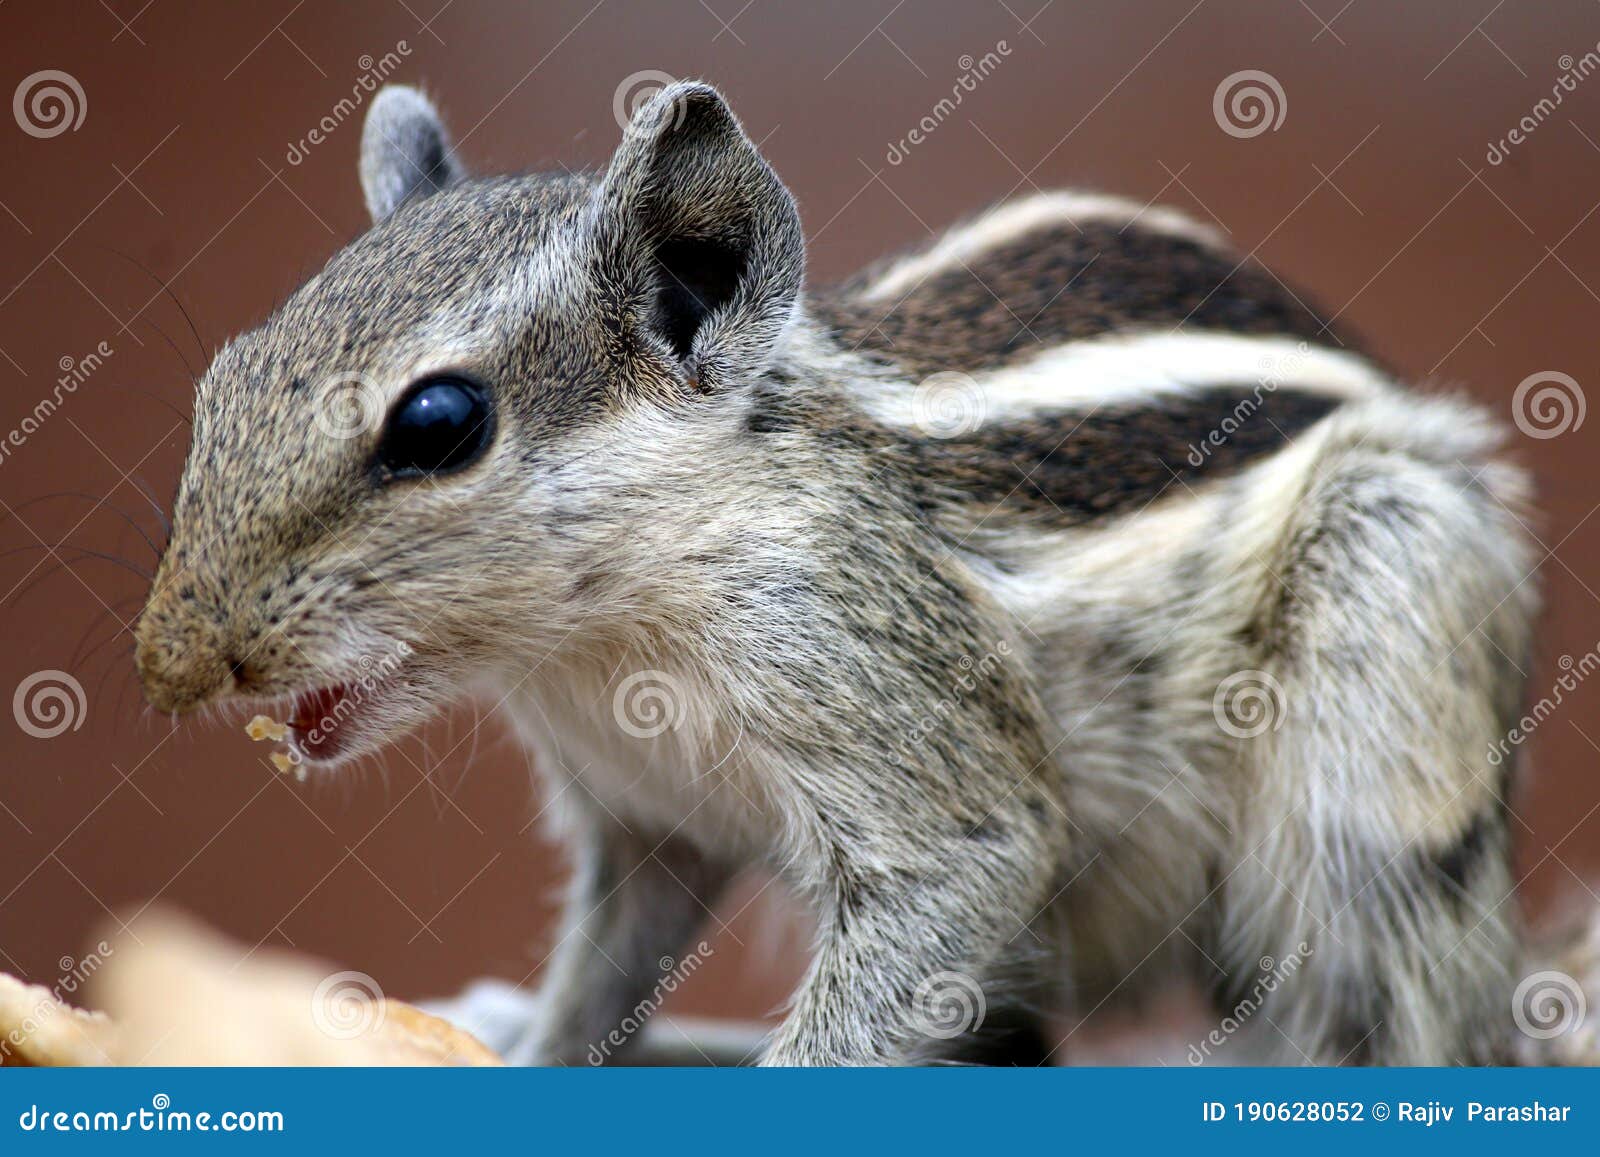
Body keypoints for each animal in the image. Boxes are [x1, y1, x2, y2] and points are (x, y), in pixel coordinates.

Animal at [135, 81, 1547, 1066]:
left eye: (438, 423)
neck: (603, 633)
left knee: (1384, 1022)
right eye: (225, 376)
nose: (169, 664)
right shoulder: (642, 825)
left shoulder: (890, 715)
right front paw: (526, 1037)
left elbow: (946, 886)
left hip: (1386, 662)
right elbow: (599, 974)